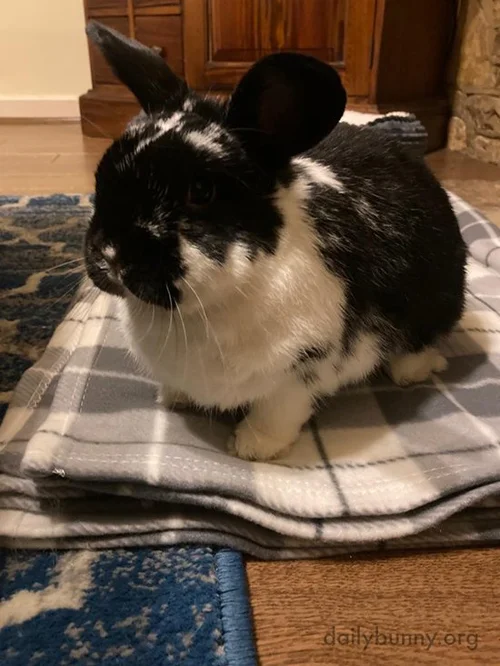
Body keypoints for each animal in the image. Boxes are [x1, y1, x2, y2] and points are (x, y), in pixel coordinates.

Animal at [84, 21, 467, 461]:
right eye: (102, 174)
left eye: (201, 192)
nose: (111, 255)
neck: (204, 306)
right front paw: (174, 399)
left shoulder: (300, 371)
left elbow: (277, 412)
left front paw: (252, 448)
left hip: (436, 301)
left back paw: (409, 372)